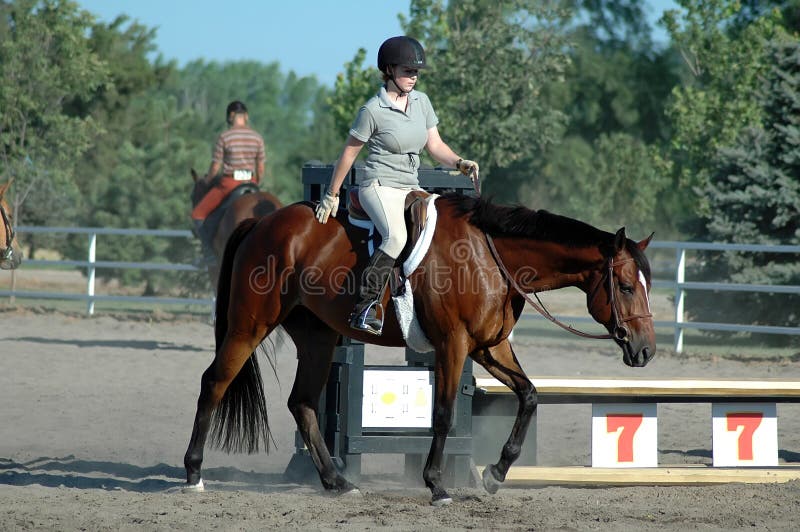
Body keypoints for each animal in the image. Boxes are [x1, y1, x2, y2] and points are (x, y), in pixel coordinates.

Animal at [182, 193, 656, 505]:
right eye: (626, 286)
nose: (646, 351)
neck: (491, 256)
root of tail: (263, 224)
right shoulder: (454, 345)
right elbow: (443, 415)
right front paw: (436, 484)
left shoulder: (490, 347)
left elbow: (529, 395)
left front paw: (496, 473)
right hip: (250, 326)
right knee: (214, 383)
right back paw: (193, 472)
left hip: (317, 337)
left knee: (302, 403)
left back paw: (338, 483)